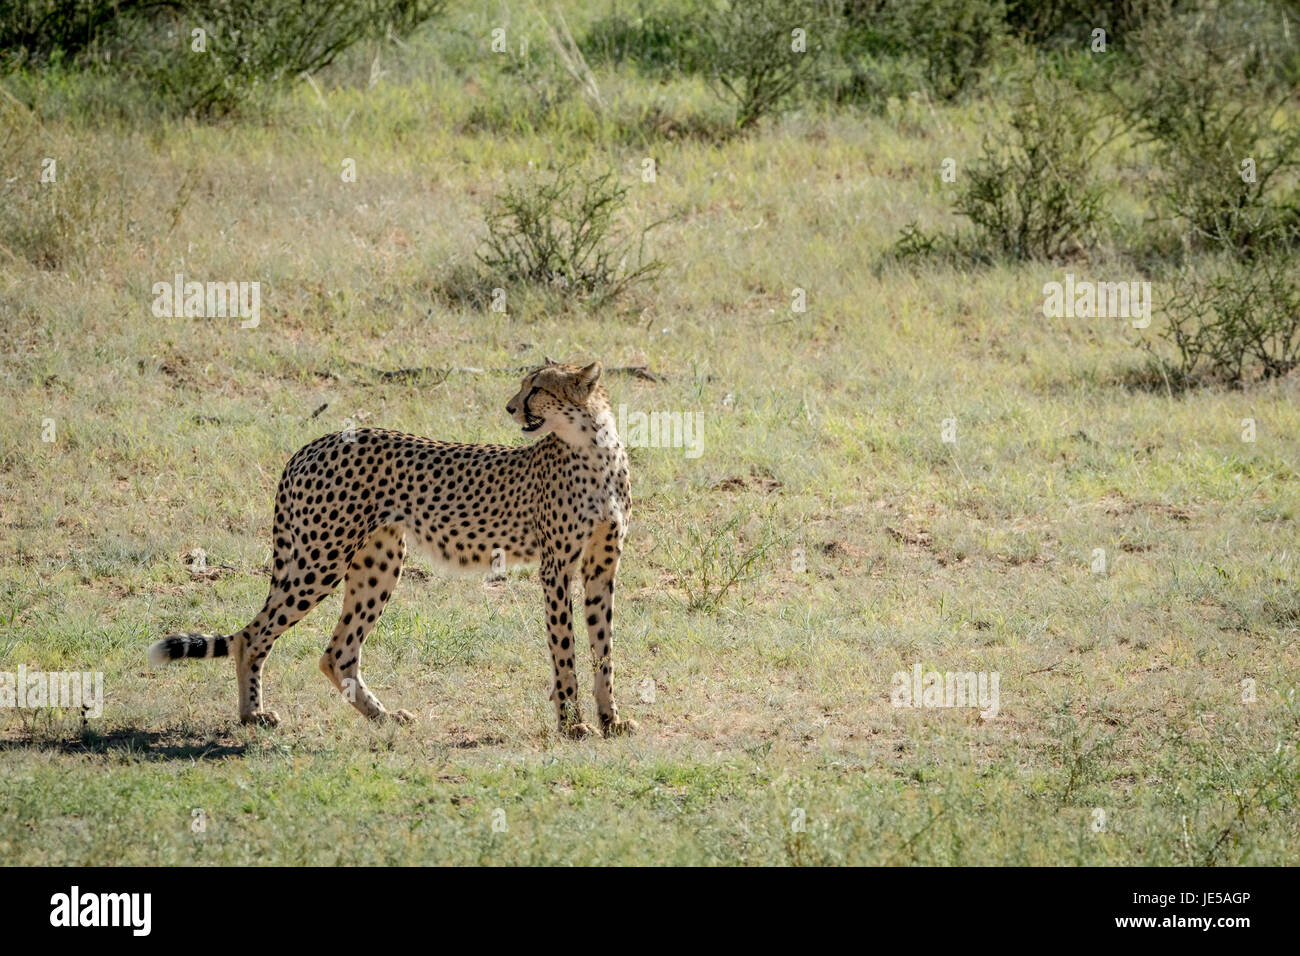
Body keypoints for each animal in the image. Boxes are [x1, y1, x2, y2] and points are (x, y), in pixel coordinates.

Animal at [148, 358, 636, 739]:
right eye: (525, 384)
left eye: (538, 387)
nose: (511, 406)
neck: (594, 448)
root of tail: (315, 443)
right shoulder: (556, 569)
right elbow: (565, 650)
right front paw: (572, 724)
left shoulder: (601, 569)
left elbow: (603, 648)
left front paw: (611, 720)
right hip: (321, 559)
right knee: (254, 636)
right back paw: (253, 715)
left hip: (377, 562)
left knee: (337, 652)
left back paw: (383, 717)